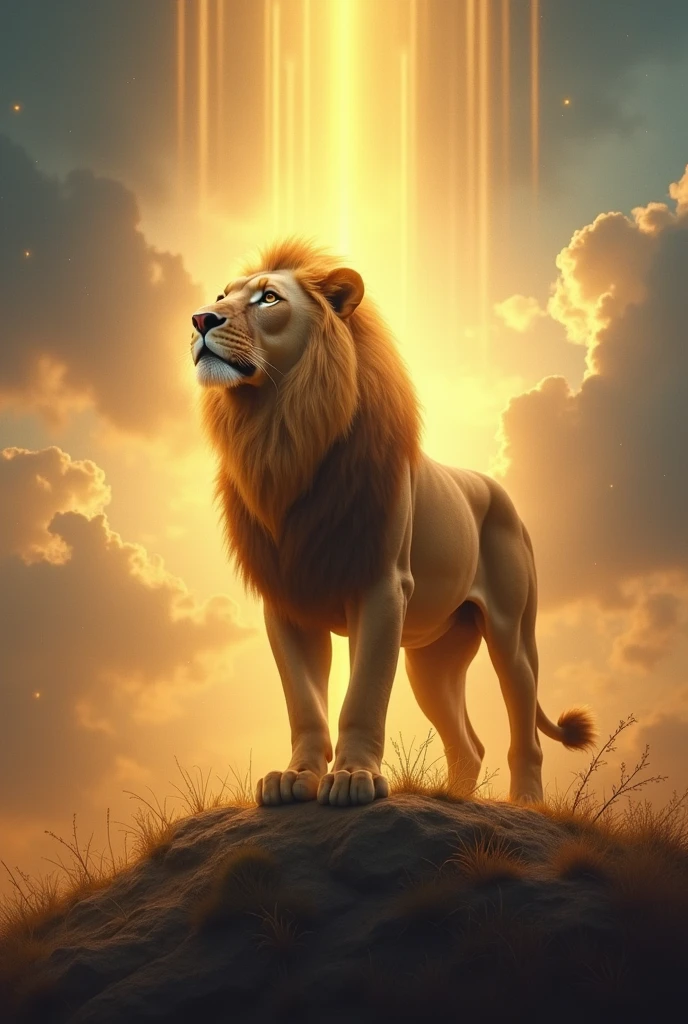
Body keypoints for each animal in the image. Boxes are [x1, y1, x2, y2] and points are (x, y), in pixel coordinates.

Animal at [191, 235, 596, 808]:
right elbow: (304, 703)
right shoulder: (287, 600)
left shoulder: (382, 586)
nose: (201, 318)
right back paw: (453, 800)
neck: (279, 431)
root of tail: (497, 491)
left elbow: (362, 696)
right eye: (222, 295)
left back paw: (526, 805)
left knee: (525, 734)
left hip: (512, 635)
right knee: (468, 744)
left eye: (269, 298)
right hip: (434, 660)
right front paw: (296, 778)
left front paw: (353, 779)